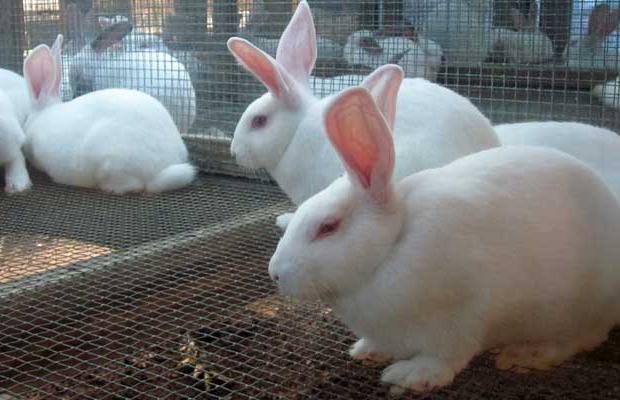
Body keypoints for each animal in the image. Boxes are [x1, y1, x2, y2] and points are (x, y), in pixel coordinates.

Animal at [270, 86, 620, 394]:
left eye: (328, 226)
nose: (275, 273)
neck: (390, 251)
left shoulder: (462, 316)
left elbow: (446, 357)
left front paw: (410, 375)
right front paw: (366, 350)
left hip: (576, 308)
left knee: (579, 338)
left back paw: (525, 355)